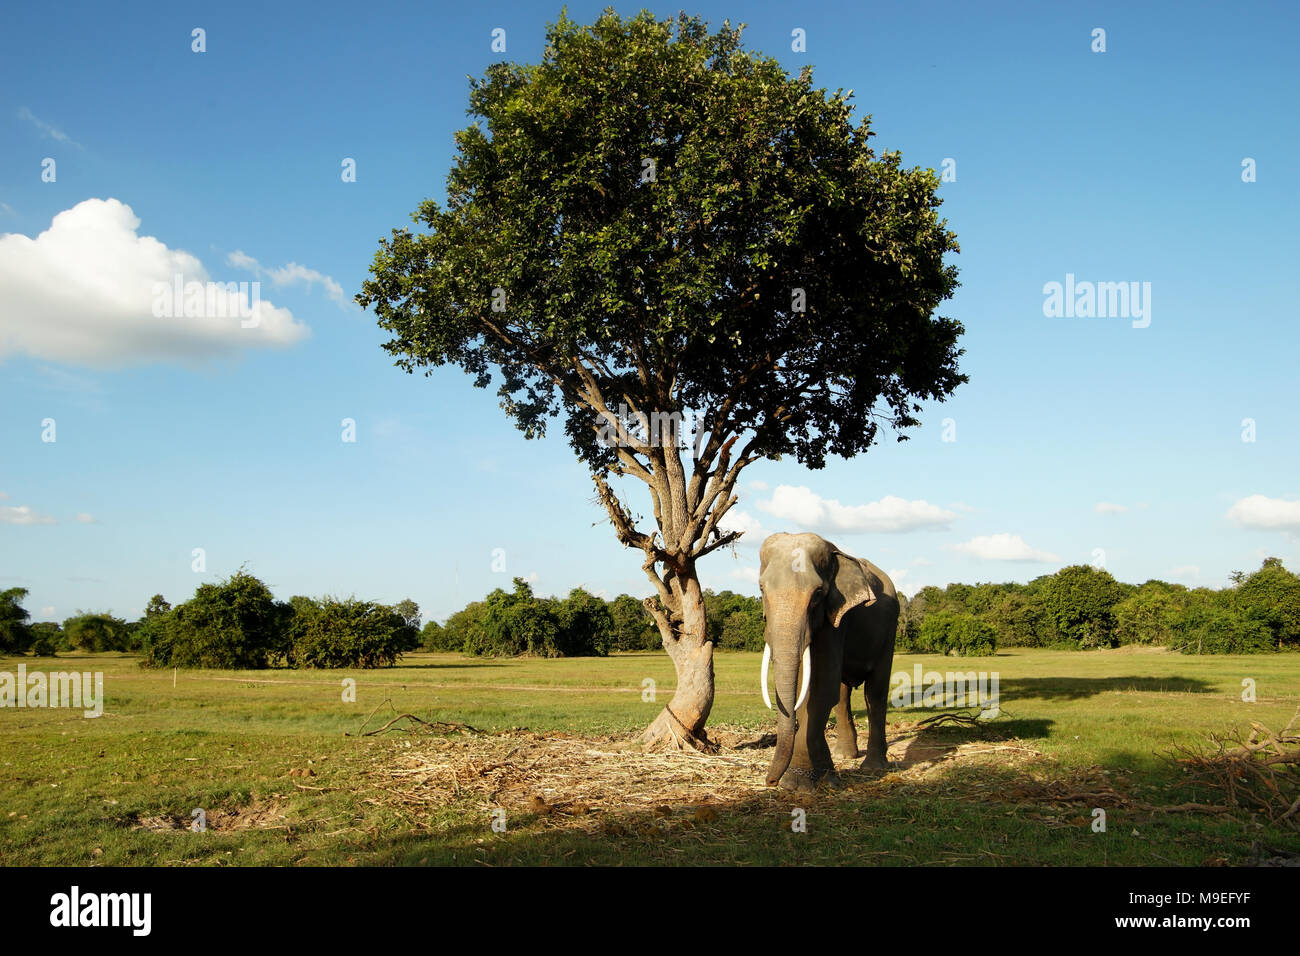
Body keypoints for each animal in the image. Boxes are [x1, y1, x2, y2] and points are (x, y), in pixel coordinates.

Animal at [757, 532, 899, 792]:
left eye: (817, 593)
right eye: (761, 588)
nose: (770, 781)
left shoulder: (836, 619)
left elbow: (821, 690)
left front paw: (798, 783)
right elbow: (808, 688)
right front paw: (824, 775)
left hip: (890, 630)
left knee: (875, 691)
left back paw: (873, 768)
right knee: (843, 694)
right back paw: (845, 755)